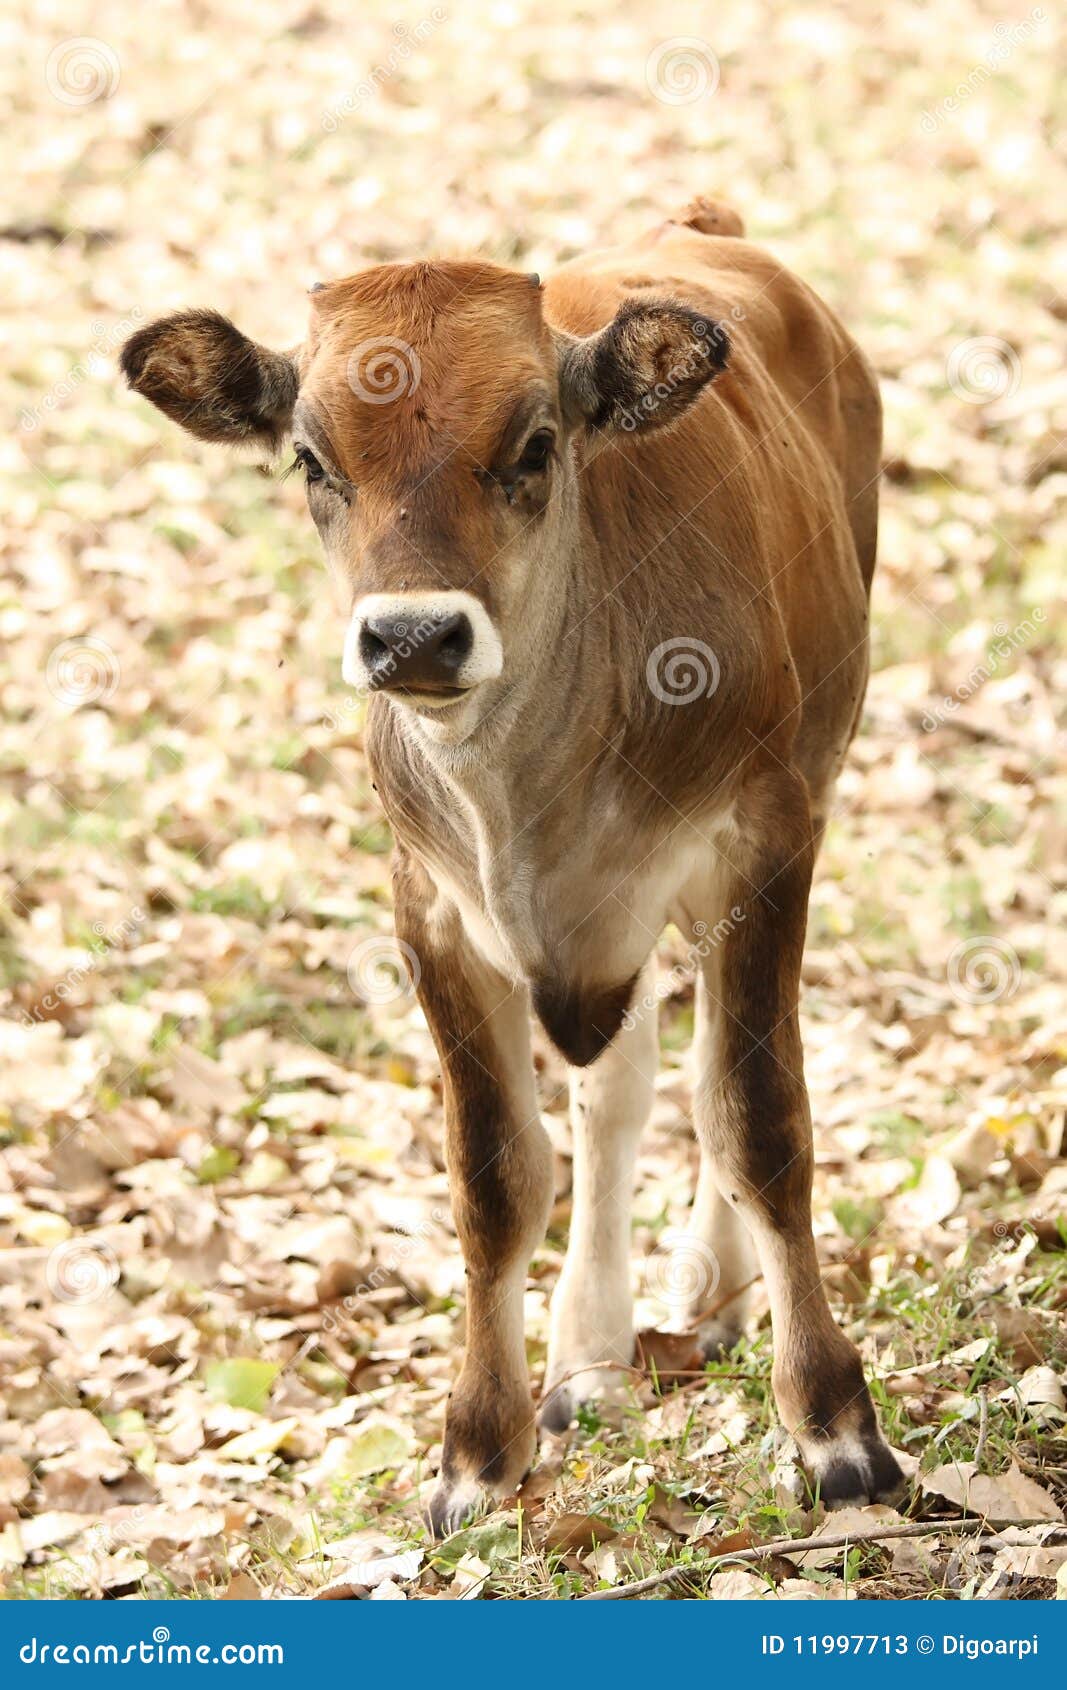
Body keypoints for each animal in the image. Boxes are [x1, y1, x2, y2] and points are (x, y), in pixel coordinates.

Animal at [121, 195, 904, 1535]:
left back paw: (709, 1286)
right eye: (312, 461)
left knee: (703, 1075)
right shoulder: (429, 906)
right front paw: (479, 1449)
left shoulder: (761, 842)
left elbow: (757, 1119)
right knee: (618, 1091)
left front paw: (833, 1428)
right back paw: (588, 1355)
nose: (413, 636)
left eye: (535, 444)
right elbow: (495, 1173)